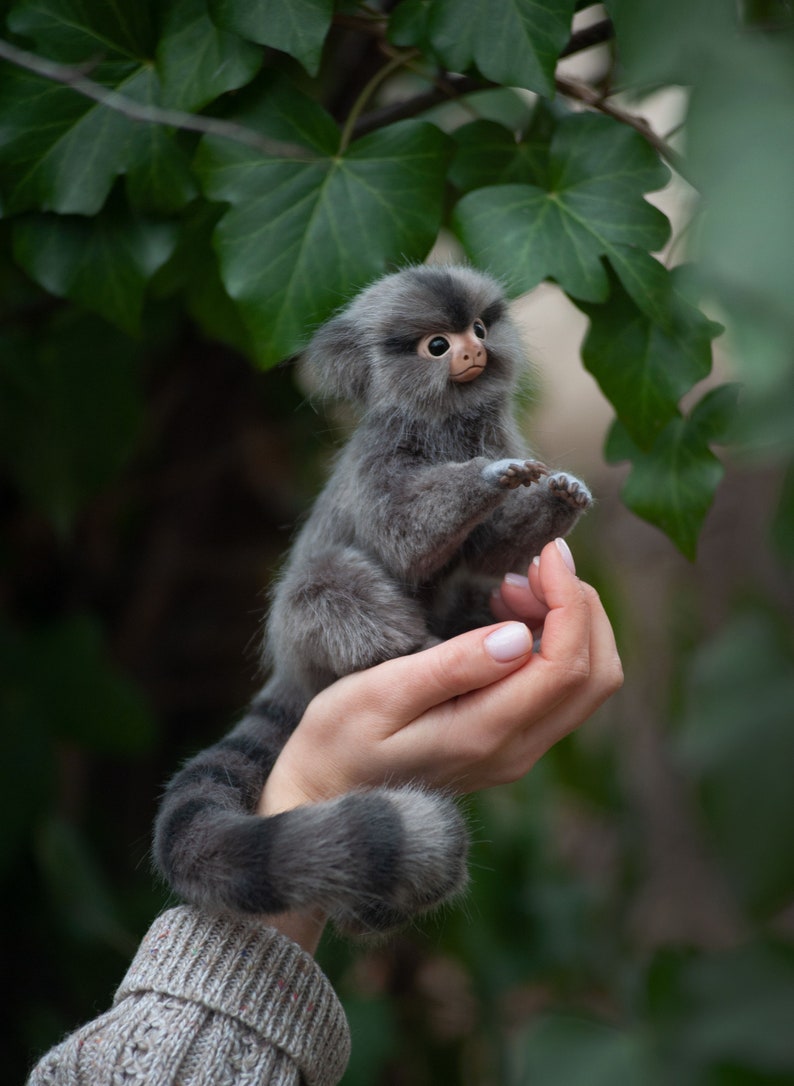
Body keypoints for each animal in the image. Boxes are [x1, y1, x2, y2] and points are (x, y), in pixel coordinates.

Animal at [153, 265, 592, 934]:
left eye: (479, 328)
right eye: (436, 345)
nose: (474, 352)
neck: (447, 423)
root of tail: (292, 671)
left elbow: (488, 554)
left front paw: (559, 497)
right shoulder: (378, 458)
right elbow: (402, 535)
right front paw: (482, 480)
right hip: (311, 630)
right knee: (322, 583)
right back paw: (411, 648)